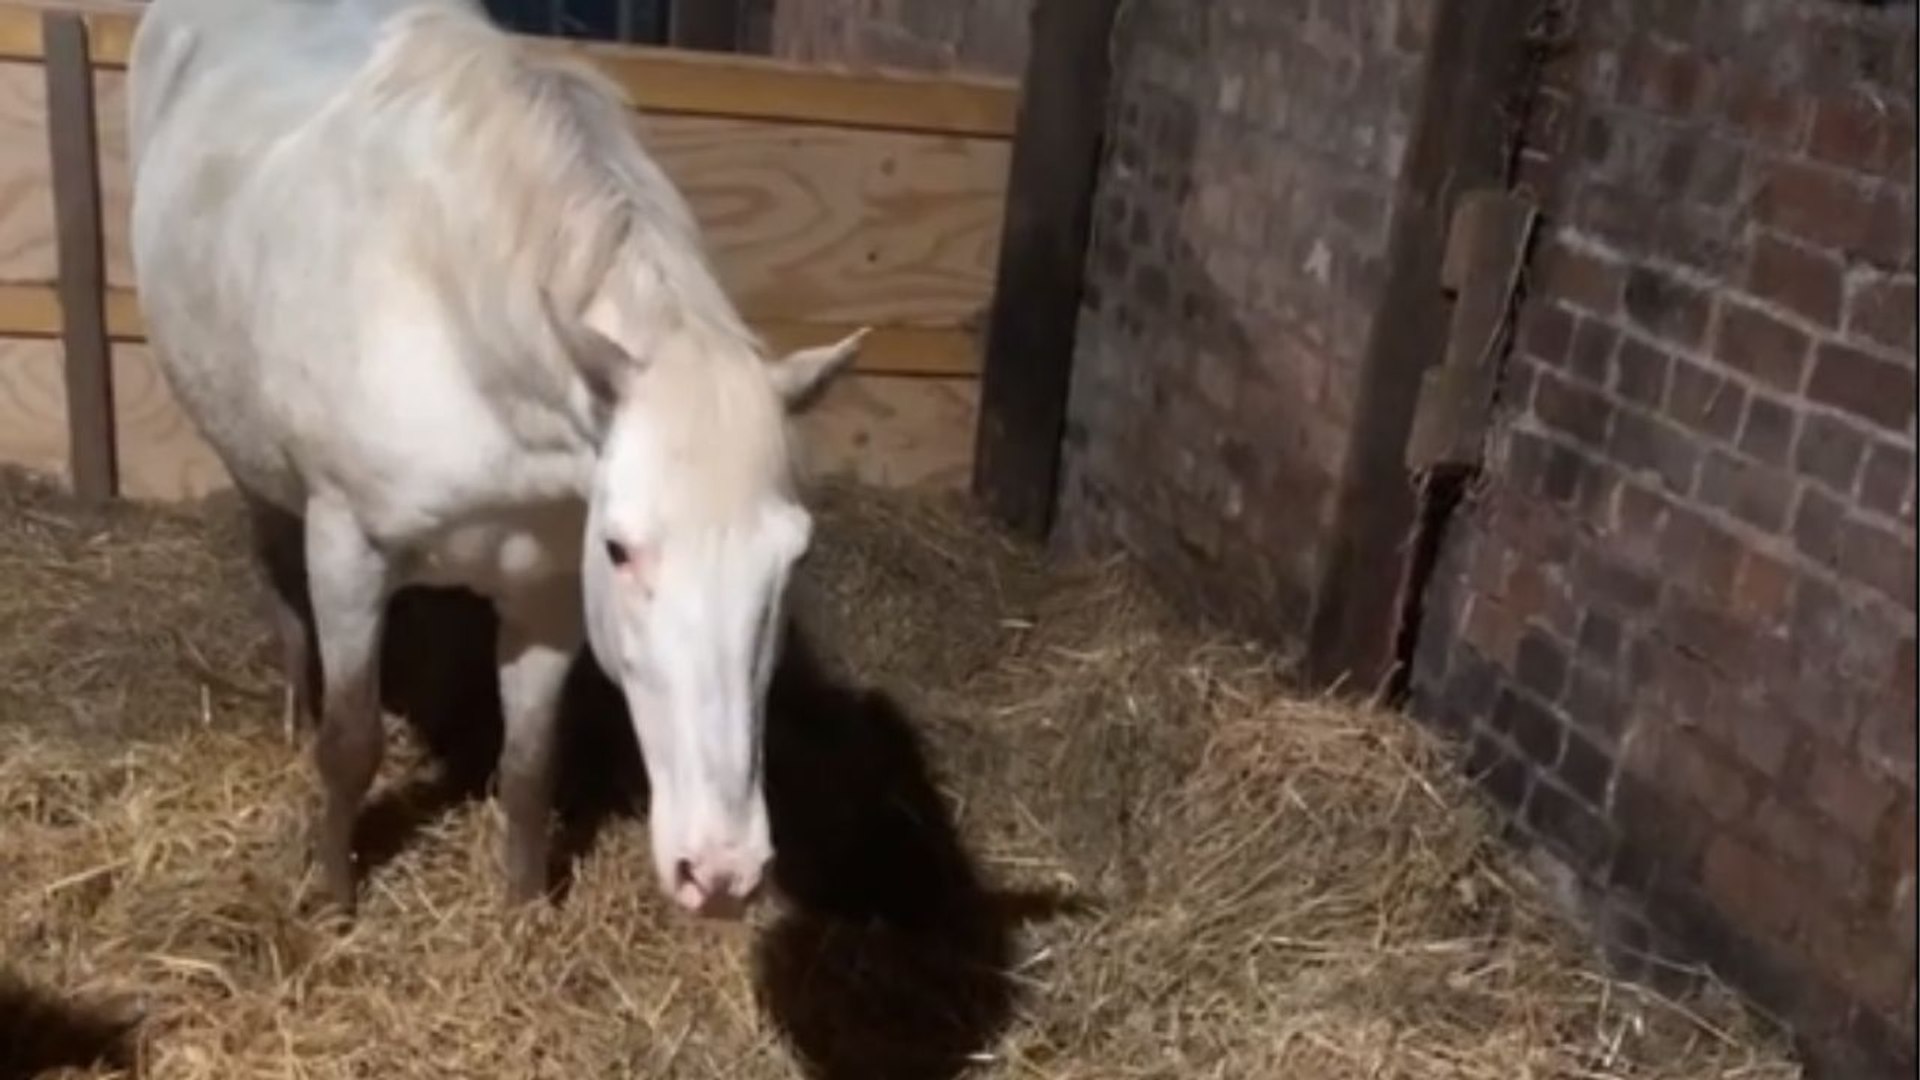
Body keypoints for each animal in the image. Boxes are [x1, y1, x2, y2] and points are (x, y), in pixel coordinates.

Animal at [126, 0, 866, 918]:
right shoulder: (349, 552)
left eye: (792, 560)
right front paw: (333, 899)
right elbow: (351, 744)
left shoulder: (547, 595)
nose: (723, 873)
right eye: (620, 550)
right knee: (277, 570)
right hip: (254, 466)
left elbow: (528, 767)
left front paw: (522, 908)